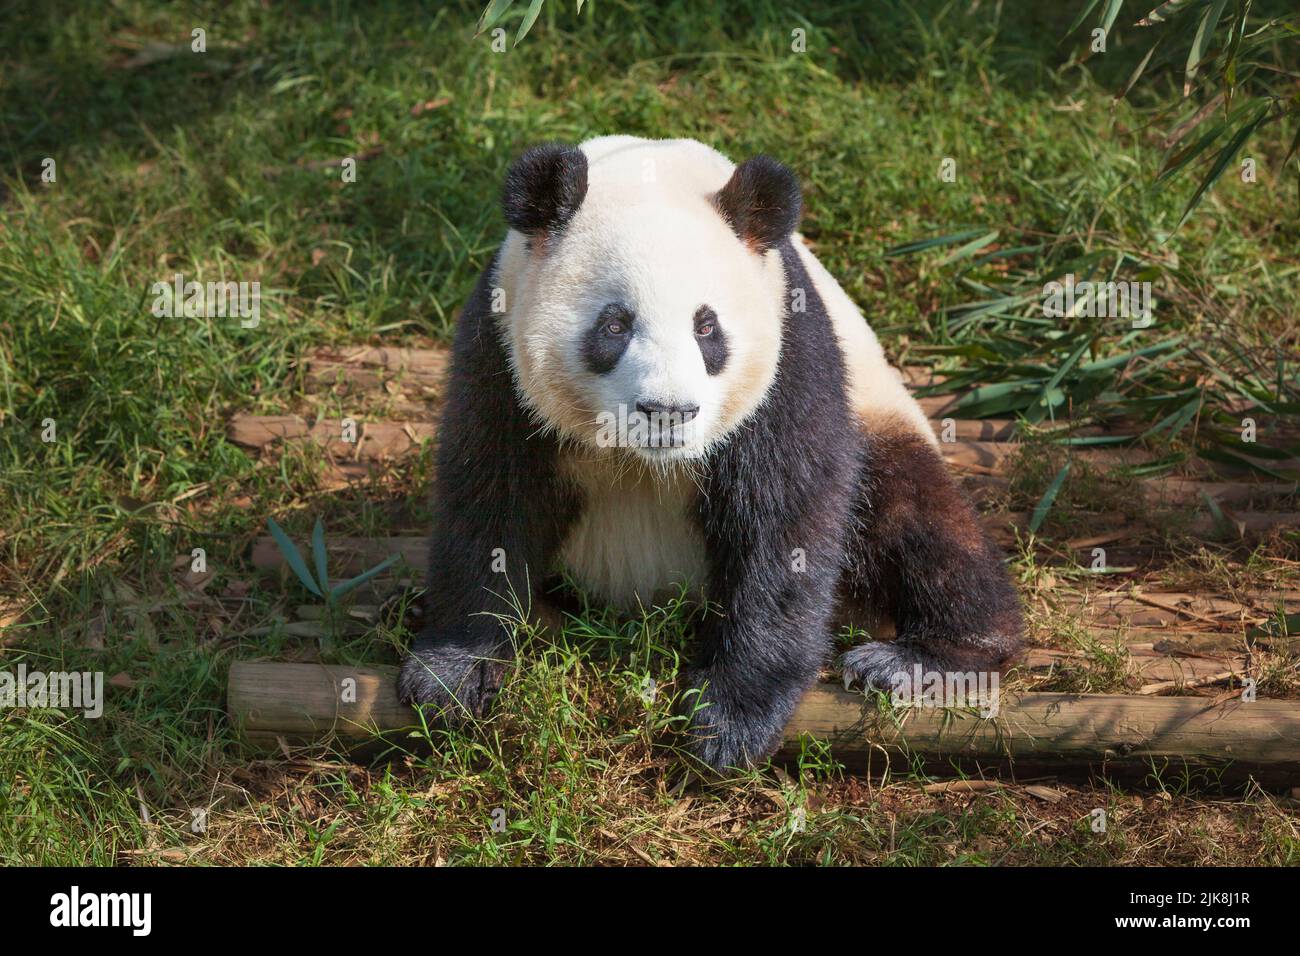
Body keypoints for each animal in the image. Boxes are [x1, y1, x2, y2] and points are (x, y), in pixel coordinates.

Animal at [397, 135, 1023, 772]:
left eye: (707, 327)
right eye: (614, 325)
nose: (668, 412)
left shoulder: (787, 355)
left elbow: (787, 519)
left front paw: (731, 719)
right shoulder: (499, 350)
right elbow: (490, 499)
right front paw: (452, 675)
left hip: (877, 418)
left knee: (913, 516)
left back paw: (919, 658)